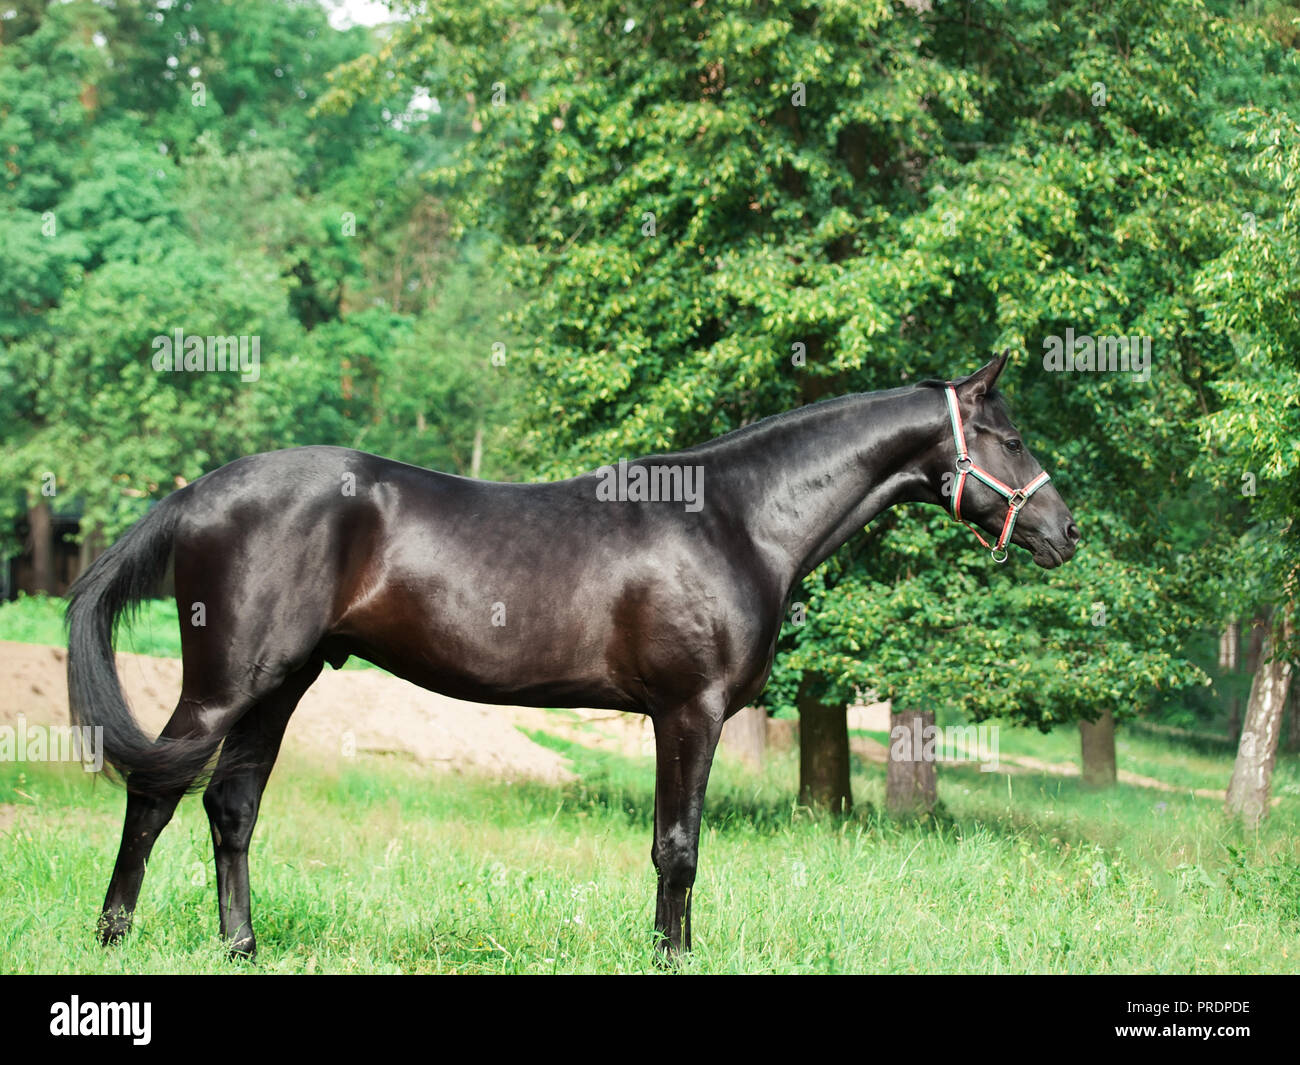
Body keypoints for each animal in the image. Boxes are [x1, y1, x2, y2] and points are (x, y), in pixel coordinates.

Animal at [67, 353, 1079, 960]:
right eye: (1012, 436)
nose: (1066, 531)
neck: (736, 518)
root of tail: (197, 491)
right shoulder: (689, 710)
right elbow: (679, 846)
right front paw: (672, 956)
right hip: (225, 683)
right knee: (156, 789)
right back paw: (112, 935)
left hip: (283, 683)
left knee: (231, 806)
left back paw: (241, 946)